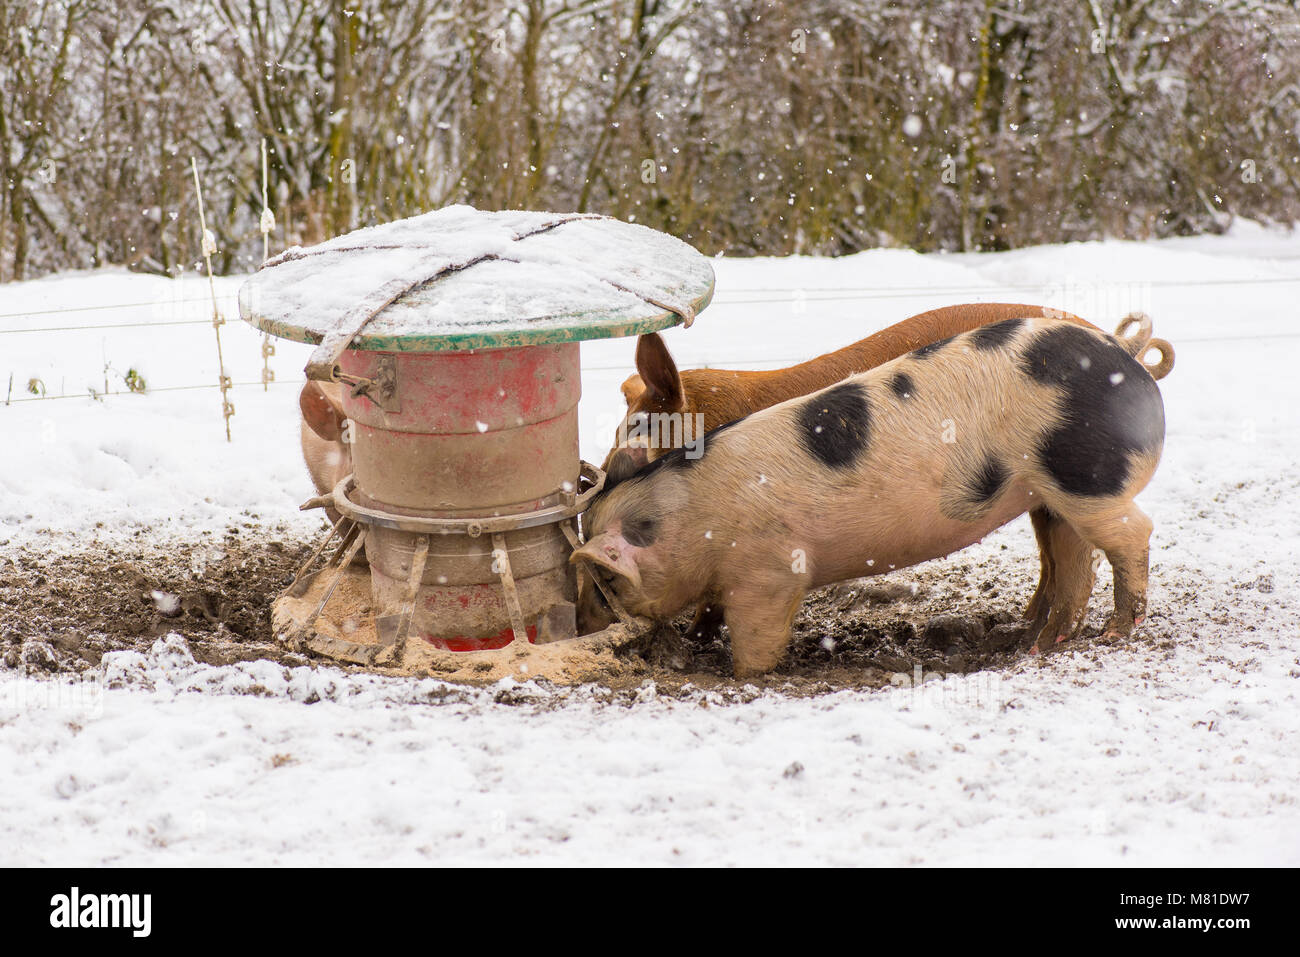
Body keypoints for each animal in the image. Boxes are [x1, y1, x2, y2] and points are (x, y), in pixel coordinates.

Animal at [573, 316, 1167, 677]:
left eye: (606, 579)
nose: (583, 624)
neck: (688, 516)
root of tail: (1127, 356)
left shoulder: (770, 569)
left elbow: (755, 632)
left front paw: (743, 677)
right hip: (1051, 494)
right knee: (1073, 561)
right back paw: (1039, 644)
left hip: (1086, 480)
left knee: (1133, 535)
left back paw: (1116, 632)